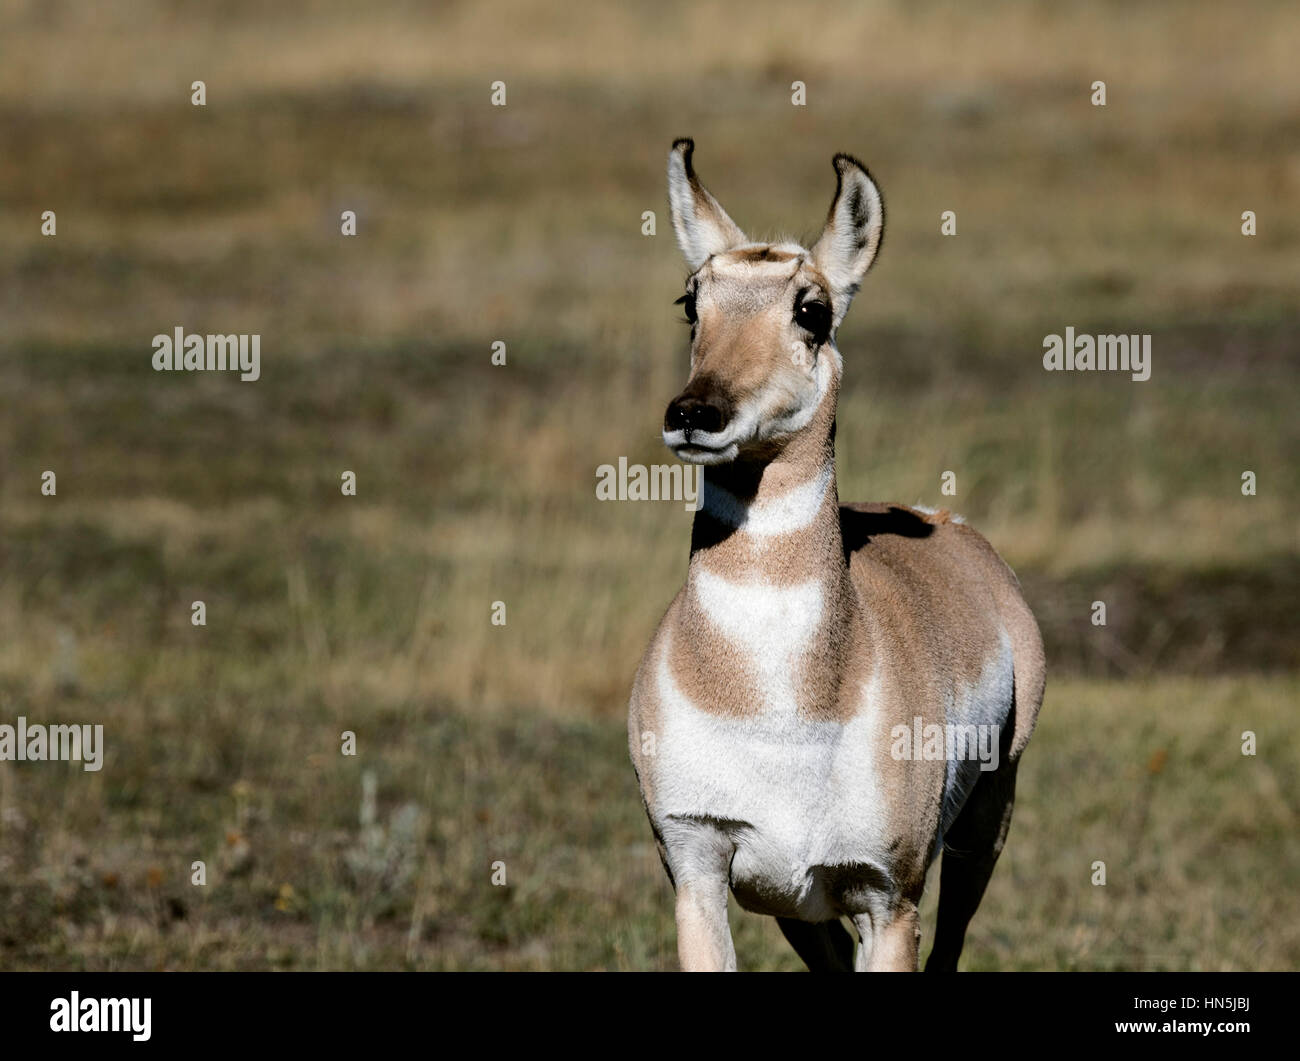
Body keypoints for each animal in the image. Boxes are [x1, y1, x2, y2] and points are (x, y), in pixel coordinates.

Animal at [627, 140, 1046, 972]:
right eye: (692, 301)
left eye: (810, 309)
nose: (694, 412)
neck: (774, 704)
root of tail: (943, 524)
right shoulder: (698, 867)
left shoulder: (889, 896)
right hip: (799, 906)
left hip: (986, 821)